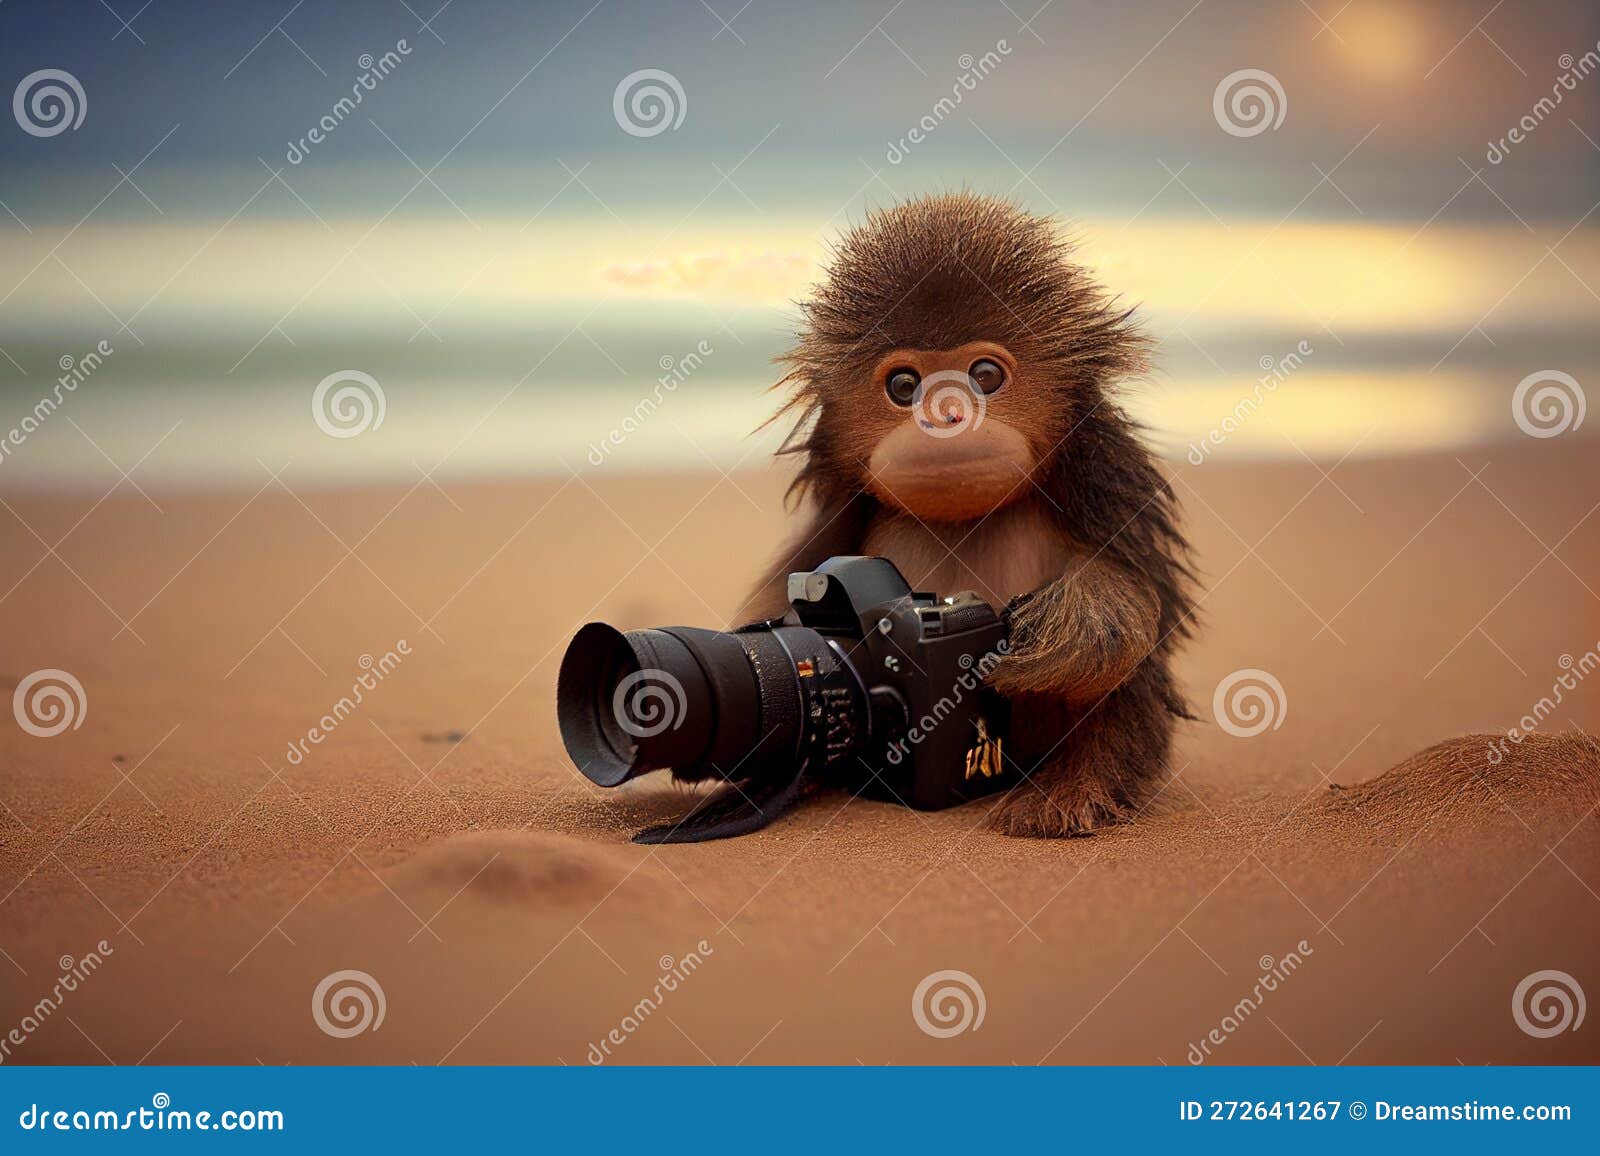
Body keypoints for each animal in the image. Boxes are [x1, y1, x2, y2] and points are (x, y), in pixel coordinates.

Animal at [737, 192, 1198, 838]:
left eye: (984, 375)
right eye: (905, 385)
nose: (948, 414)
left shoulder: (1104, 479)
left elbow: (1134, 603)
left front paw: (1071, 625)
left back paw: (1071, 791)